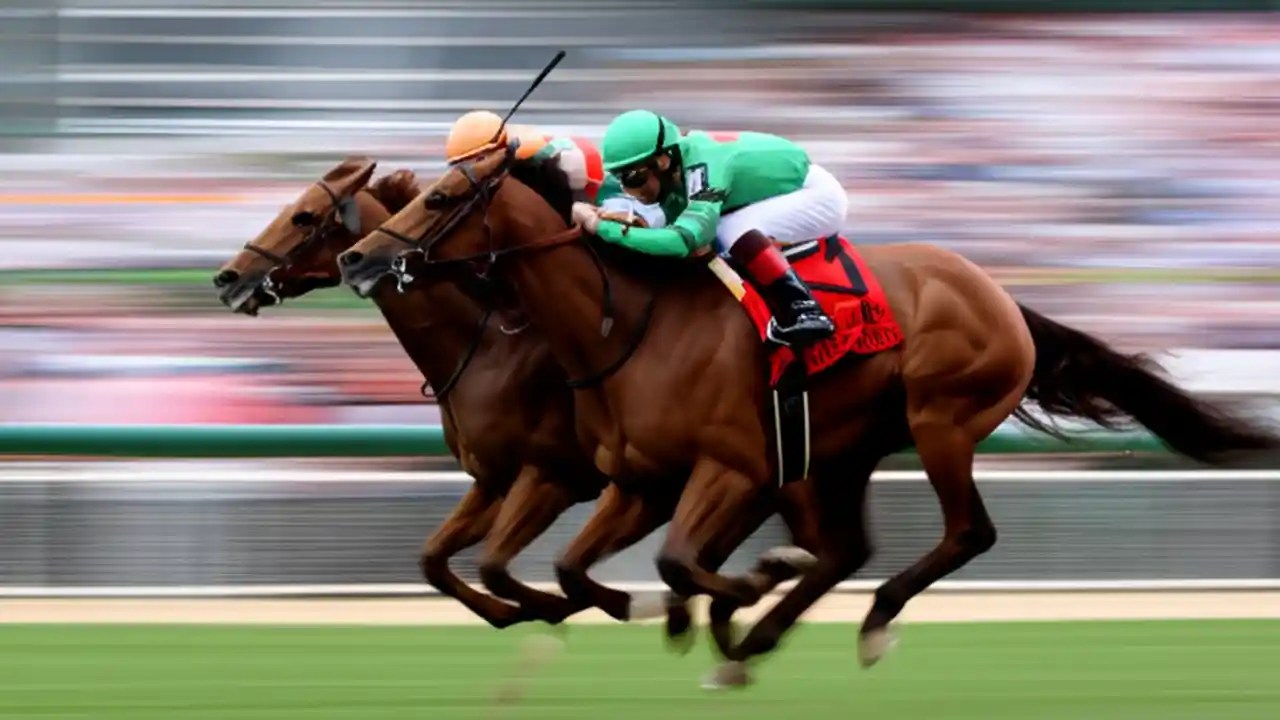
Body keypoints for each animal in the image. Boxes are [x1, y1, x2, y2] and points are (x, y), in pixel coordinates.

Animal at [211, 157, 803, 656]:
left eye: (304, 216)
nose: (227, 276)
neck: (489, 346)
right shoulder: (494, 480)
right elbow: (434, 559)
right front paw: (518, 611)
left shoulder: (552, 475)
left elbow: (496, 564)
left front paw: (564, 606)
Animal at [335, 144, 1275, 684]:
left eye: (441, 199)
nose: (360, 258)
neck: (618, 321)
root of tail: (999, 294)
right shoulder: (637, 478)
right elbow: (581, 568)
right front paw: (705, 608)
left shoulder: (730, 466)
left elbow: (678, 562)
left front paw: (739, 589)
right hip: (842, 450)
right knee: (846, 548)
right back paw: (758, 638)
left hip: (938, 421)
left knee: (963, 534)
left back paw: (861, 624)